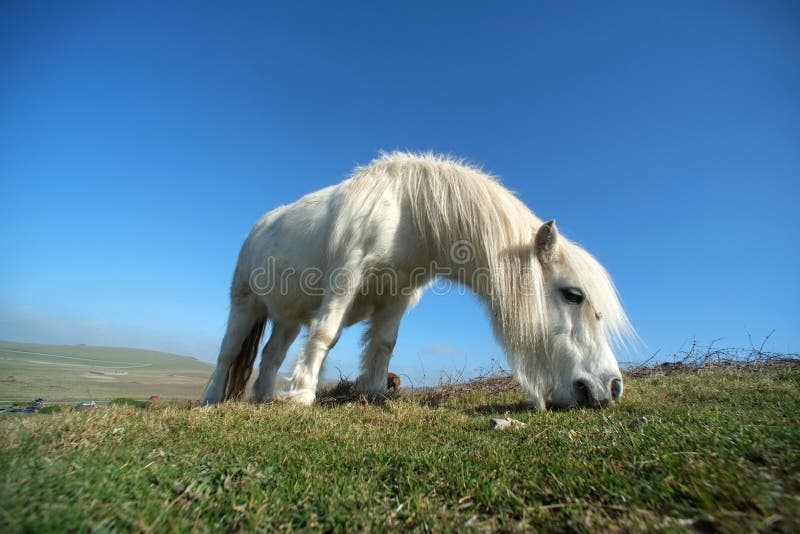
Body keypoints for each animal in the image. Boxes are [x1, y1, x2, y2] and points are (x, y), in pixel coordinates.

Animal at [202, 152, 634, 409]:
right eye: (573, 294)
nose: (610, 387)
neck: (406, 212)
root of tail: (260, 225)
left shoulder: (398, 295)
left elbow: (385, 342)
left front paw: (373, 392)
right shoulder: (346, 277)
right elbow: (327, 333)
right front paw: (302, 394)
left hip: (288, 317)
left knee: (272, 353)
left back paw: (263, 399)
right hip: (245, 303)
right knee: (227, 353)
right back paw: (212, 398)